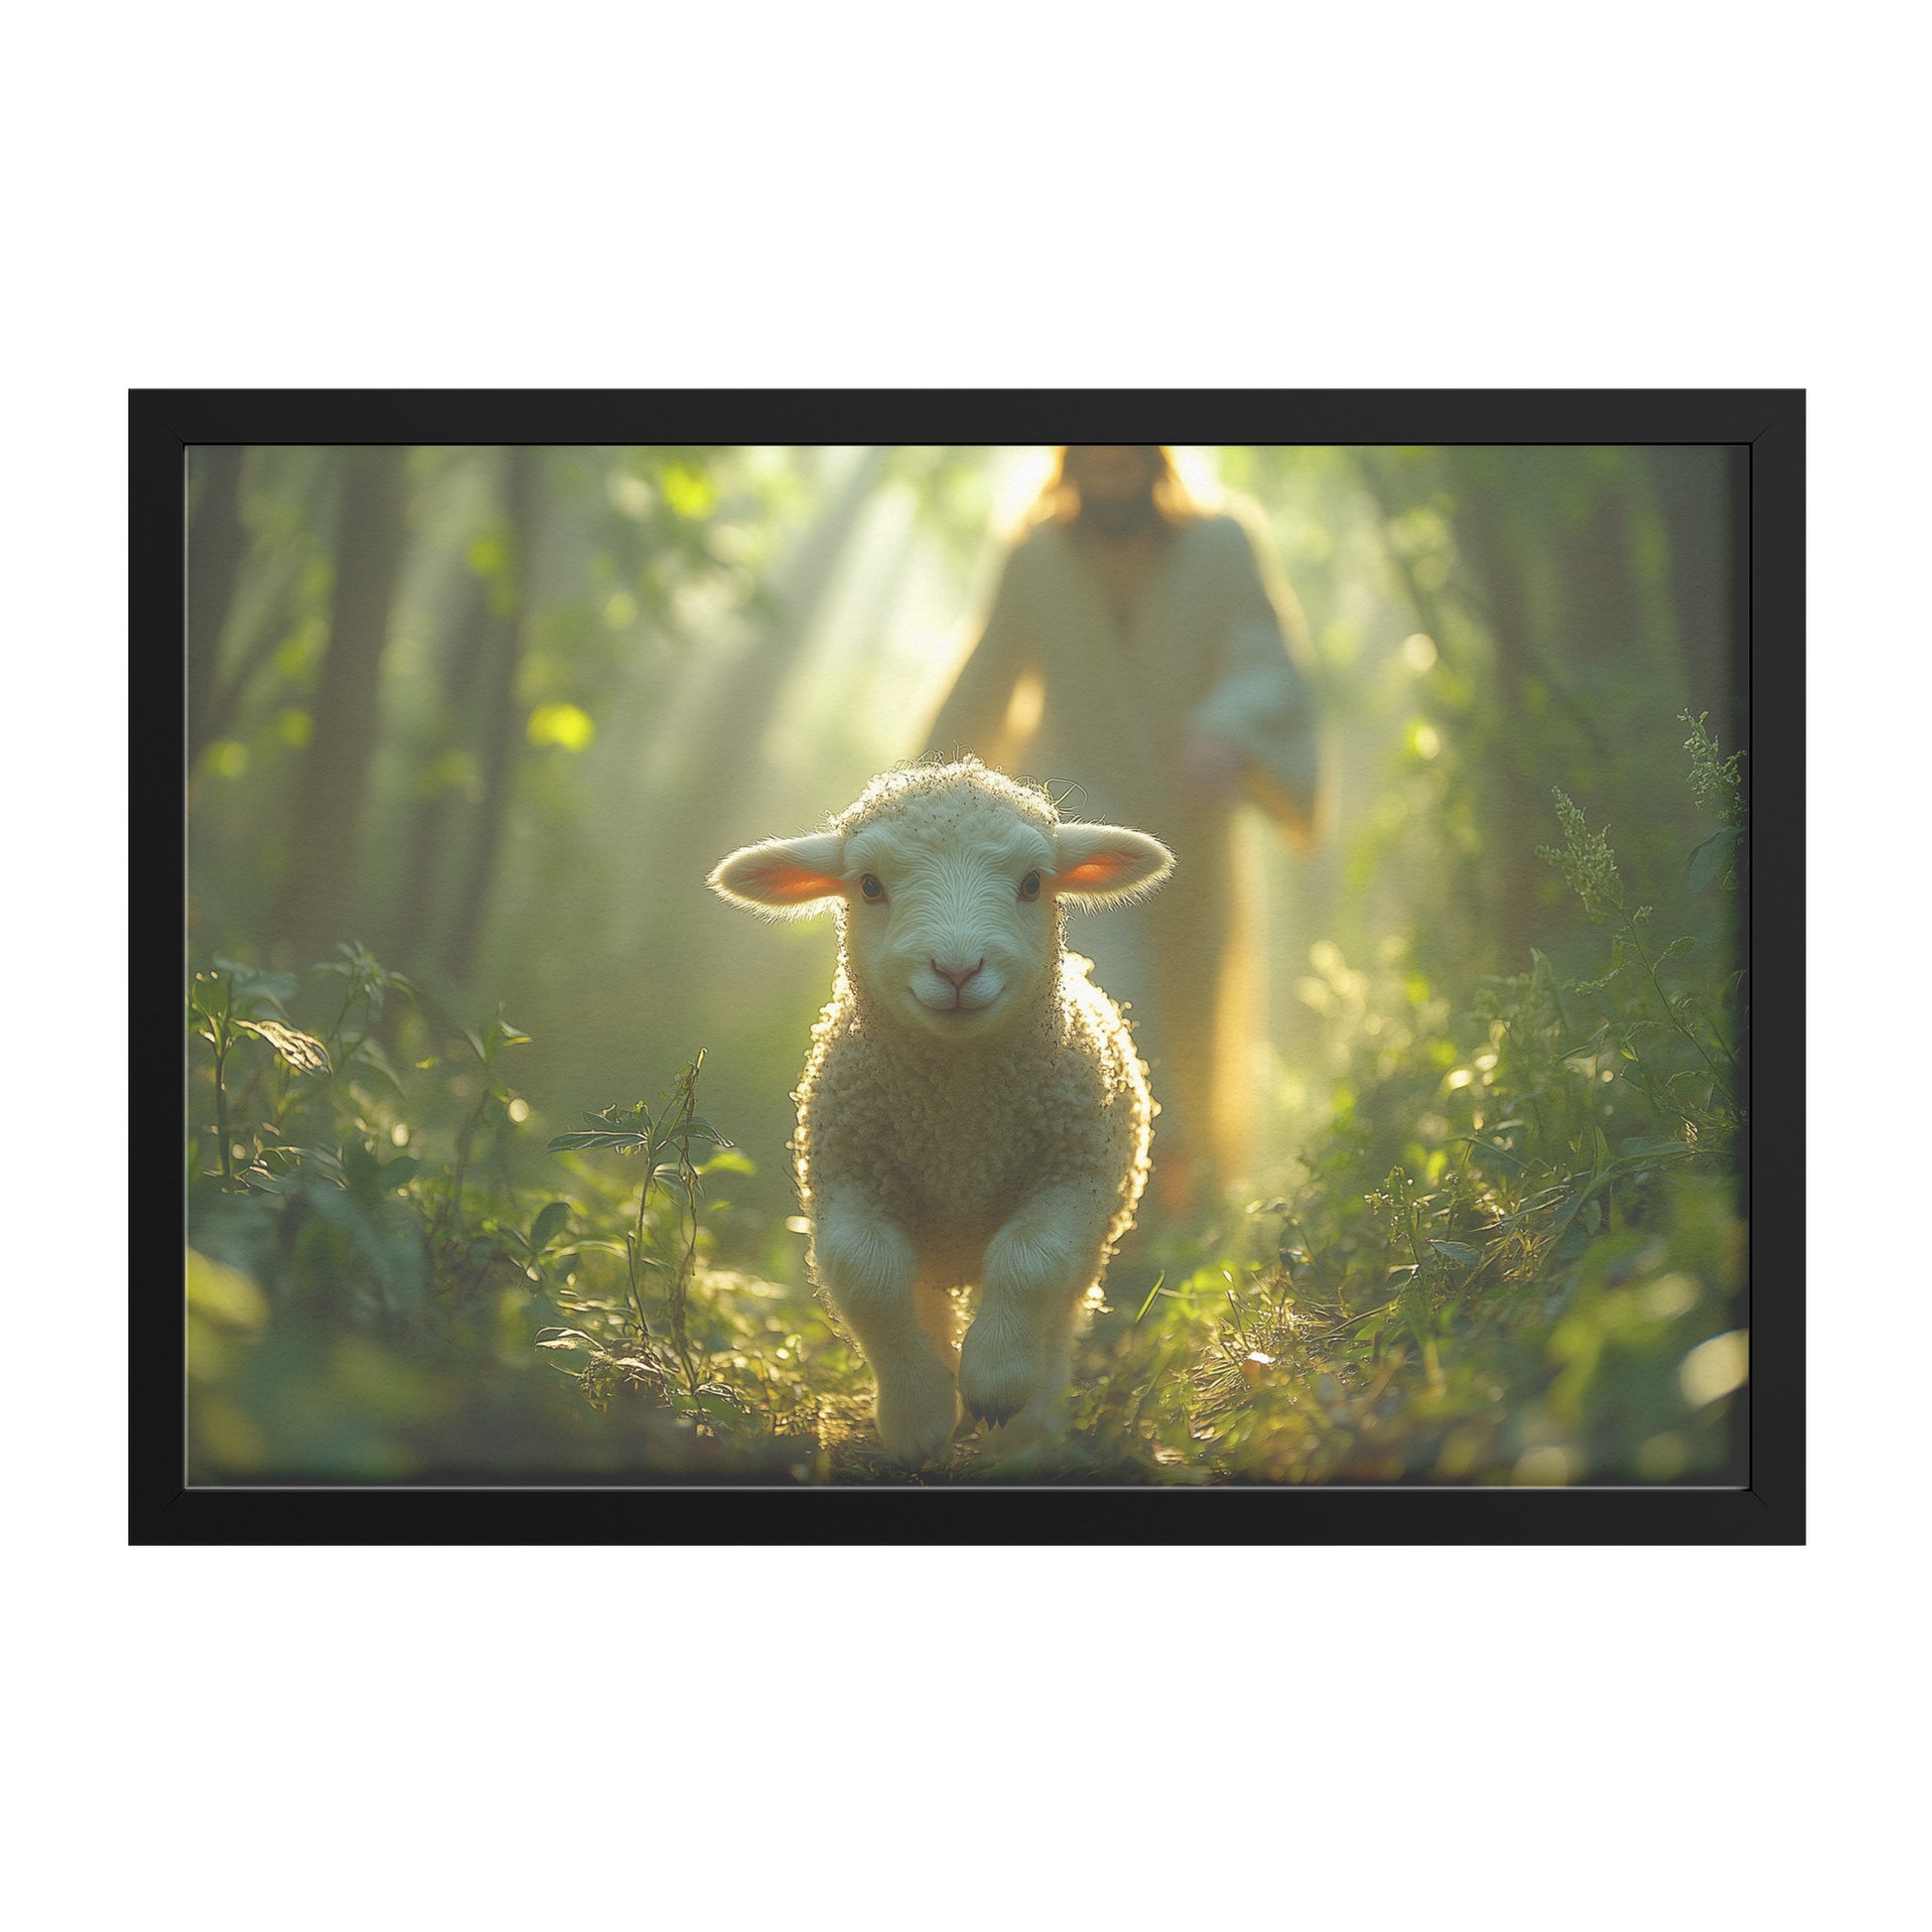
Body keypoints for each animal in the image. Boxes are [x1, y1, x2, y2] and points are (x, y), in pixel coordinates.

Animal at [708, 756, 1173, 1466]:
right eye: (869, 885)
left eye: (1032, 883)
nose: (957, 970)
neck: (959, 1123)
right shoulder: (848, 1172)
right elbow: (866, 1275)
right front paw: (918, 1417)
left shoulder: (1076, 1172)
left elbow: (1031, 1260)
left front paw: (996, 1384)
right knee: (922, 1298)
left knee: (1059, 1312)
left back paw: (1030, 1434)